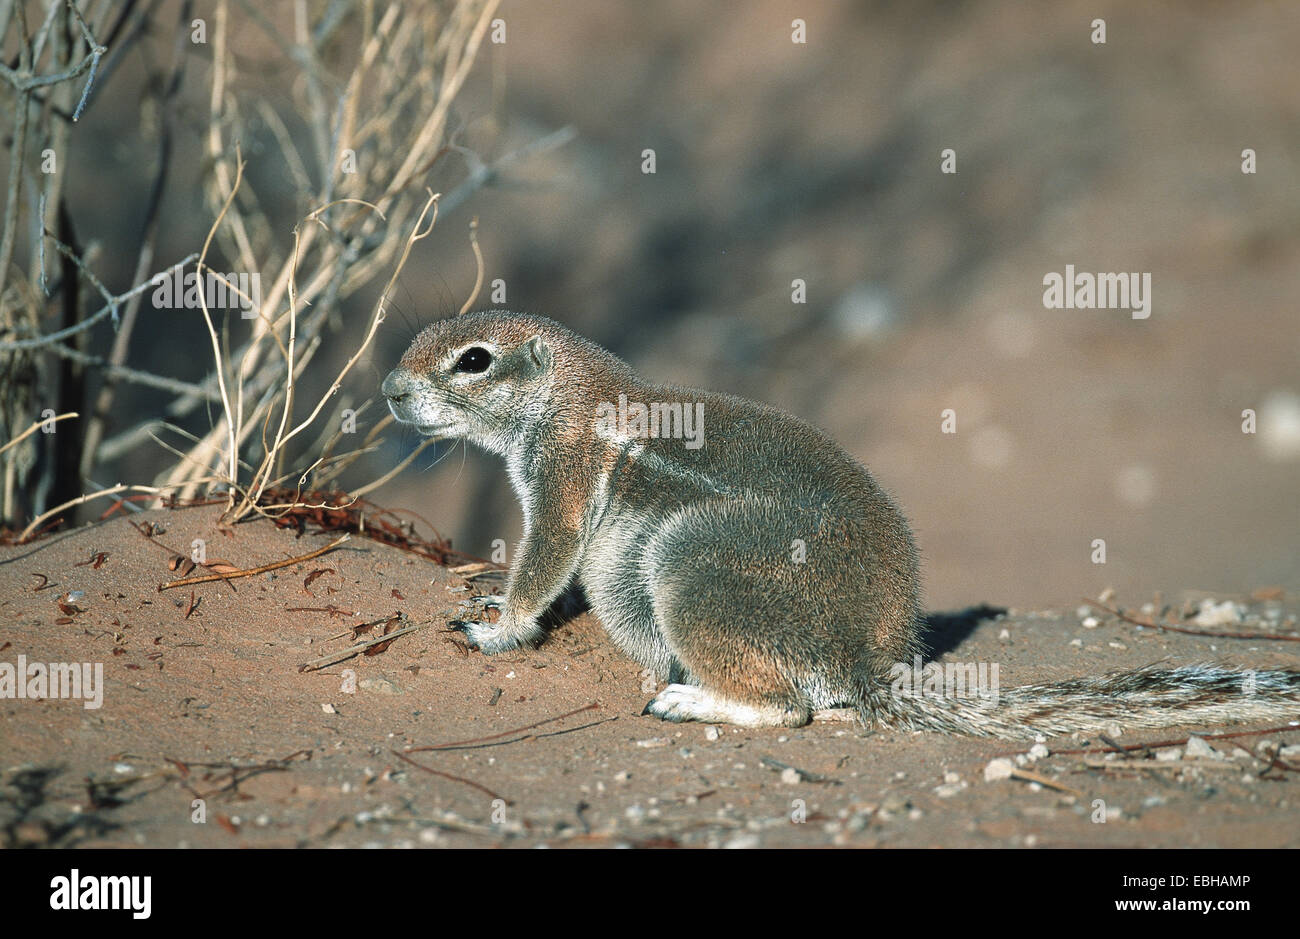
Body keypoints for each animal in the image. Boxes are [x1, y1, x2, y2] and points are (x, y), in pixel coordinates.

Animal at [383, 311, 1300, 738]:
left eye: (474, 360)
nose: (390, 390)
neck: (571, 391)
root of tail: (869, 661)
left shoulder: (564, 478)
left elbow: (545, 557)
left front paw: (495, 625)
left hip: (692, 559)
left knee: (787, 706)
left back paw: (689, 697)